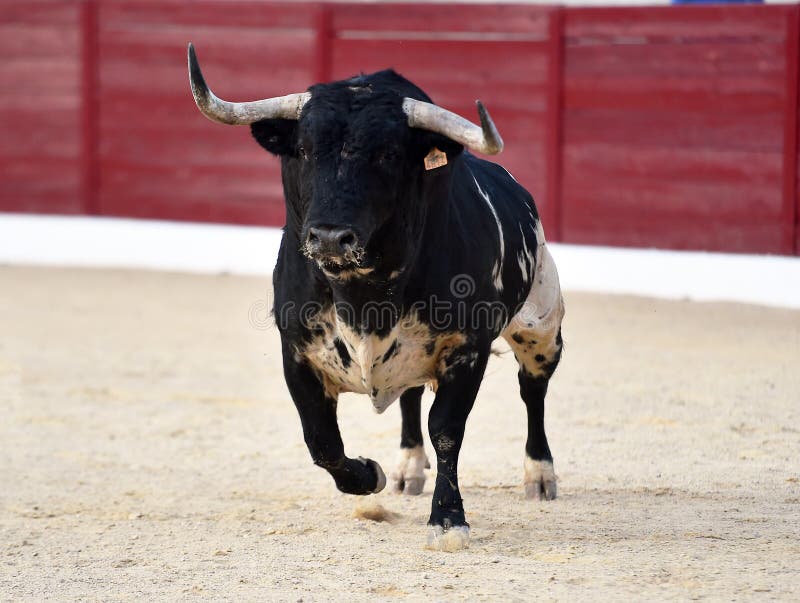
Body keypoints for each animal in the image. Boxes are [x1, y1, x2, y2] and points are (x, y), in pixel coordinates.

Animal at [188, 43, 564, 550]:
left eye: (388, 154)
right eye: (303, 150)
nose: (329, 238)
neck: (364, 297)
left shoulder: (468, 350)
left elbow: (447, 430)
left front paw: (449, 519)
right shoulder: (296, 352)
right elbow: (322, 439)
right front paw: (370, 474)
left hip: (542, 327)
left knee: (533, 390)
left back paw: (540, 475)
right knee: (410, 397)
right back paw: (408, 469)